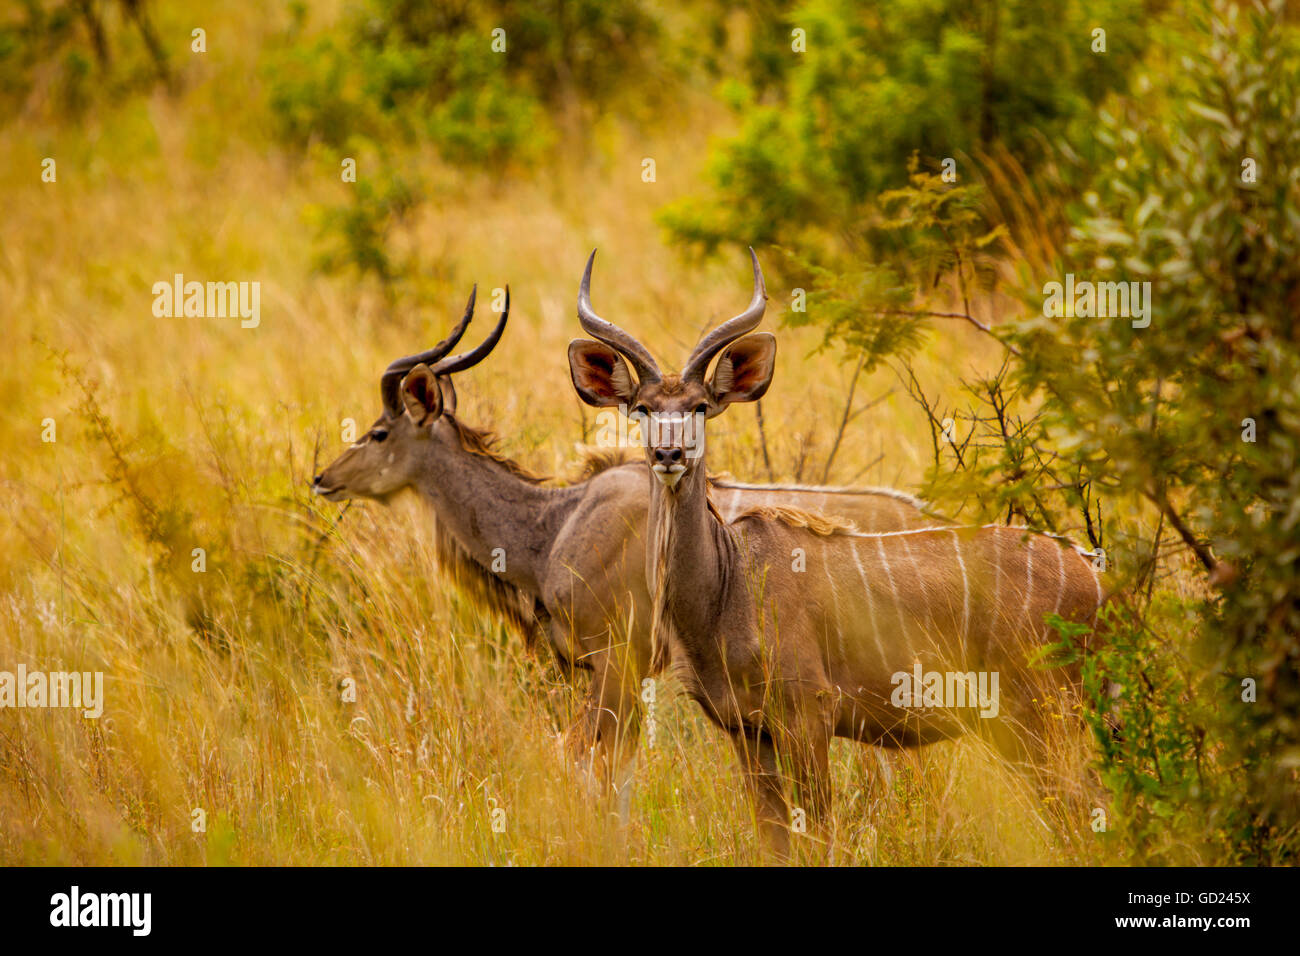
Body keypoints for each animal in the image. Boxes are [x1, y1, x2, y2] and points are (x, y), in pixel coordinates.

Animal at [312, 285, 944, 811]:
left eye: (378, 433)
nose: (323, 479)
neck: (556, 525)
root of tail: (927, 514)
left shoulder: (617, 662)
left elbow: (595, 767)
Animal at [566, 250, 1108, 854]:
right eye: (640, 407)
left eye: (701, 407)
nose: (668, 453)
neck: (727, 585)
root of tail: (1093, 576)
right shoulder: (747, 731)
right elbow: (773, 838)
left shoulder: (808, 716)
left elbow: (820, 831)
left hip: (1046, 715)